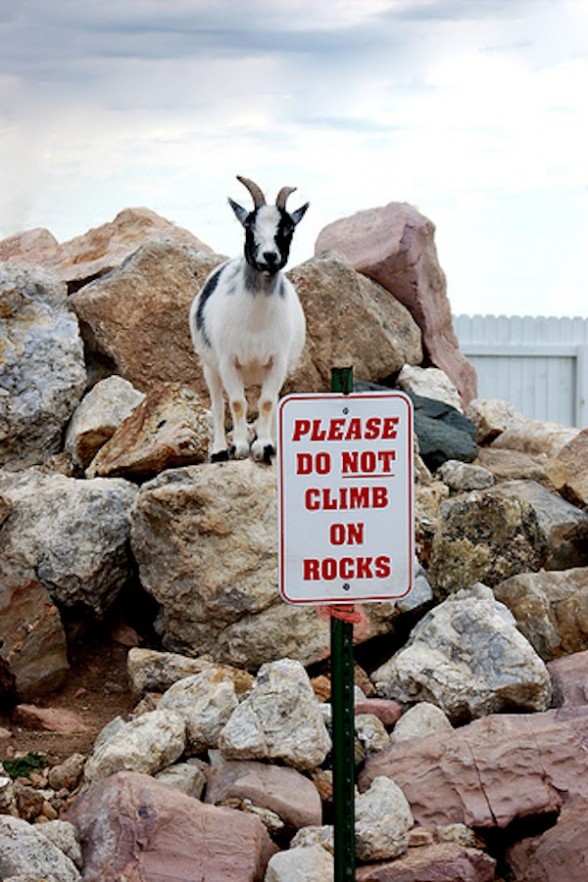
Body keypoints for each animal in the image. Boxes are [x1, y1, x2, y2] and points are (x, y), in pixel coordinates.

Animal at [189, 175, 309, 463]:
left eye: (289, 228)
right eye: (249, 226)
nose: (270, 256)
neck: (256, 322)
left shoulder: (277, 361)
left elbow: (267, 402)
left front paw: (264, 446)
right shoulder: (227, 361)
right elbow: (236, 403)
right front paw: (240, 447)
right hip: (209, 366)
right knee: (218, 406)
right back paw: (219, 450)